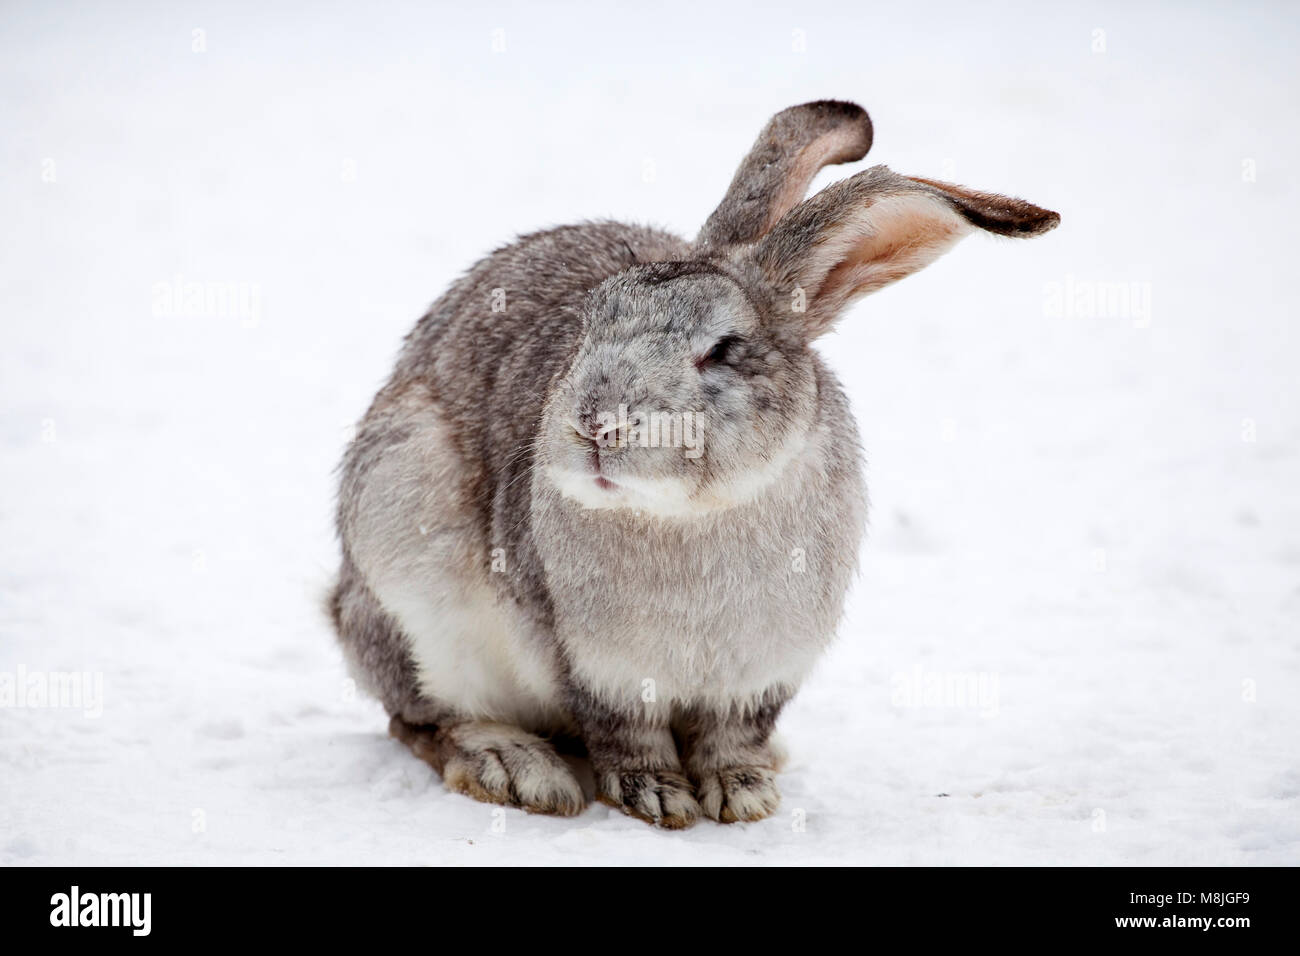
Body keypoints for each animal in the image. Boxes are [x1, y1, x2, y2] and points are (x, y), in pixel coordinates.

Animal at [329, 100, 1059, 828]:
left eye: (722, 350)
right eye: (587, 326)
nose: (595, 422)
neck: (691, 513)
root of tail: (342, 607)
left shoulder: (762, 673)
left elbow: (733, 735)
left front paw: (742, 793)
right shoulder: (595, 666)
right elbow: (626, 735)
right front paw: (657, 797)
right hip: (408, 565)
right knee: (422, 719)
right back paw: (517, 768)